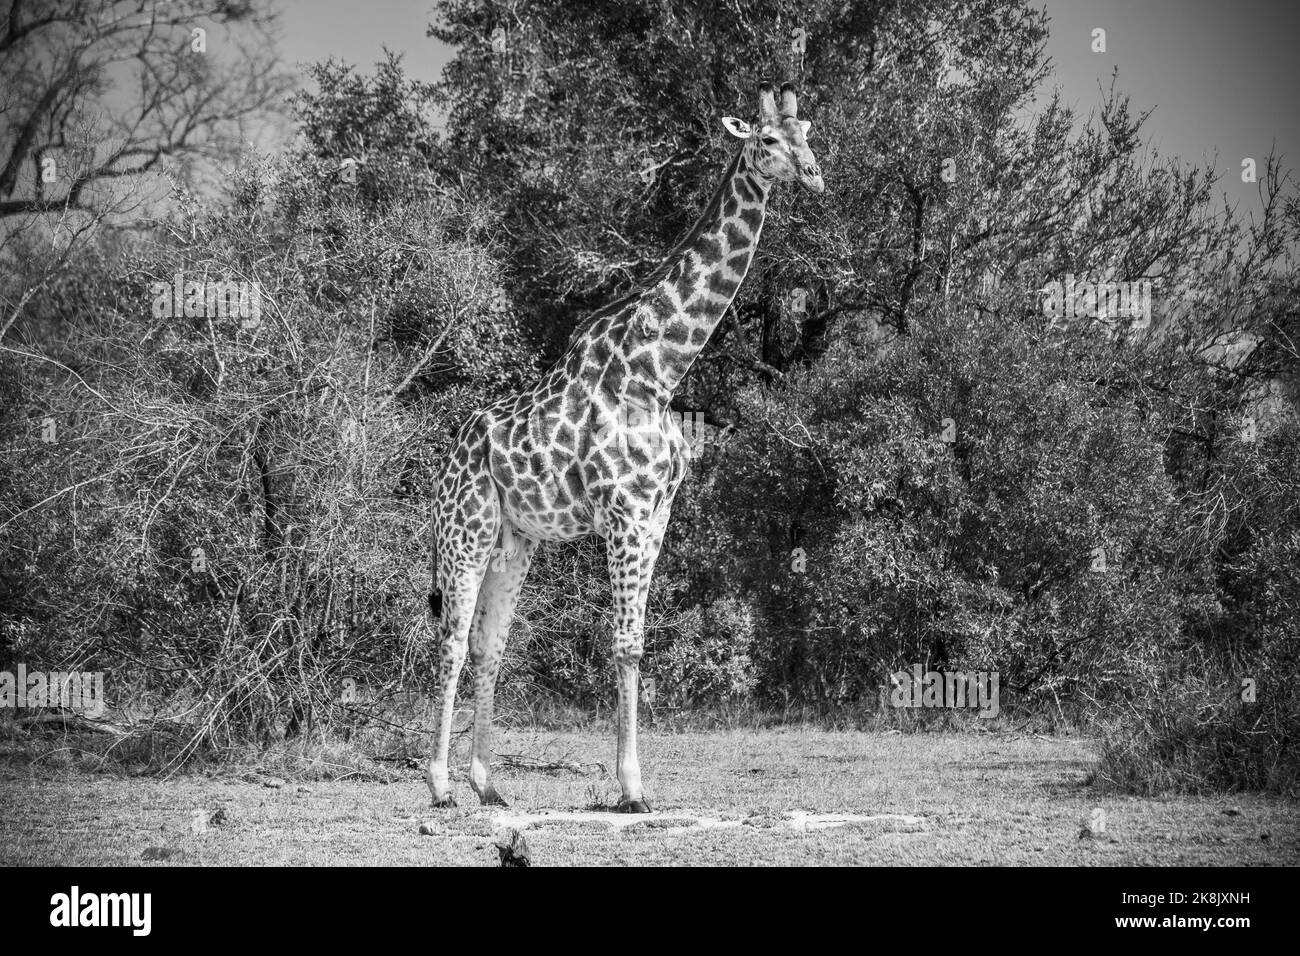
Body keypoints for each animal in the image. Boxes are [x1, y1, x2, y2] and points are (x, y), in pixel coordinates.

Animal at [425, 81, 824, 812]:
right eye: (766, 139)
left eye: (807, 132)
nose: (813, 175)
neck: (656, 371)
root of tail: (451, 455)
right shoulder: (625, 516)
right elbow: (625, 644)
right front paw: (632, 788)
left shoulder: (657, 516)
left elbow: (636, 641)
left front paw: (632, 782)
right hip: (464, 529)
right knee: (453, 641)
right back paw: (439, 786)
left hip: (514, 540)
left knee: (489, 646)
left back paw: (487, 785)